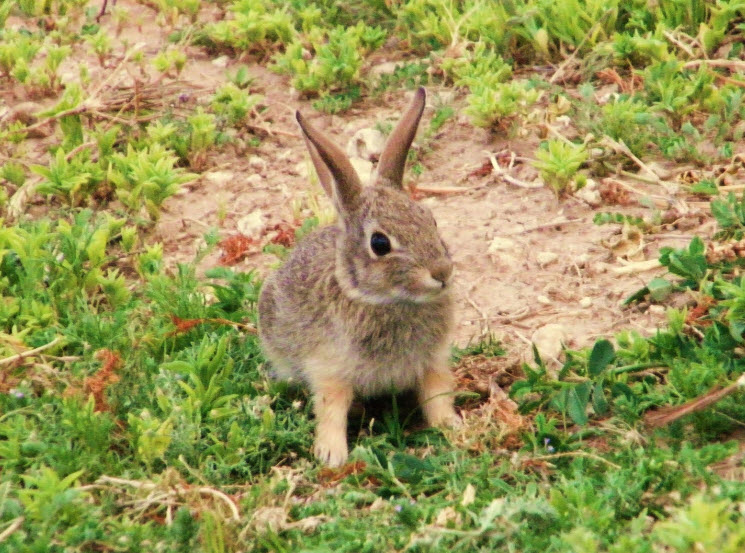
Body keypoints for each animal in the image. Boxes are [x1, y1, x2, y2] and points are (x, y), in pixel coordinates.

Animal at [258, 88, 459, 467]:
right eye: (380, 244)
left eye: (431, 220)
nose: (442, 273)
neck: (383, 299)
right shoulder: (329, 369)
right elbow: (331, 410)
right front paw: (331, 454)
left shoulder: (433, 361)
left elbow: (437, 394)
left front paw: (453, 427)